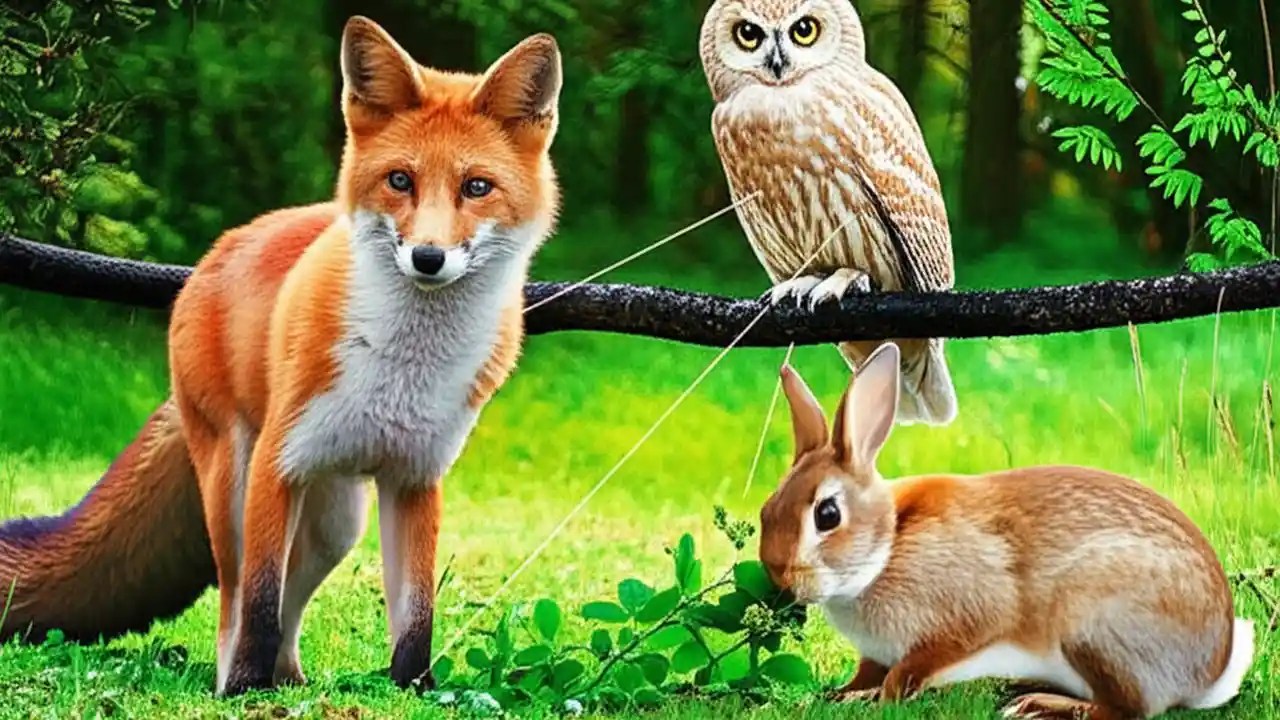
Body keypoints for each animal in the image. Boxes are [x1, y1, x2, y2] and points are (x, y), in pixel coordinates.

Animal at [0, 16, 562, 697]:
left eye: (476, 187)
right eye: (400, 181)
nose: (428, 258)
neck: (404, 365)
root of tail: (218, 250)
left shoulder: (414, 478)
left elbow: (414, 617)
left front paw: (415, 691)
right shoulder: (279, 464)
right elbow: (259, 603)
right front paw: (243, 689)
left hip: (335, 523)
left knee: (293, 602)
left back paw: (290, 679)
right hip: (235, 488)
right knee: (234, 601)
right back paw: (241, 680)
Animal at [757, 341, 1254, 720]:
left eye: (827, 515)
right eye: (767, 508)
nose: (780, 576)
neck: (890, 543)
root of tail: (1210, 667)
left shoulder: (963, 621)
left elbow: (909, 671)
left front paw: (878, 699)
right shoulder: (876, 652)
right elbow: (868, 671)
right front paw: (843, 695)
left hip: (1093, 624)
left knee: (1123, 709)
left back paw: (1038, 704)